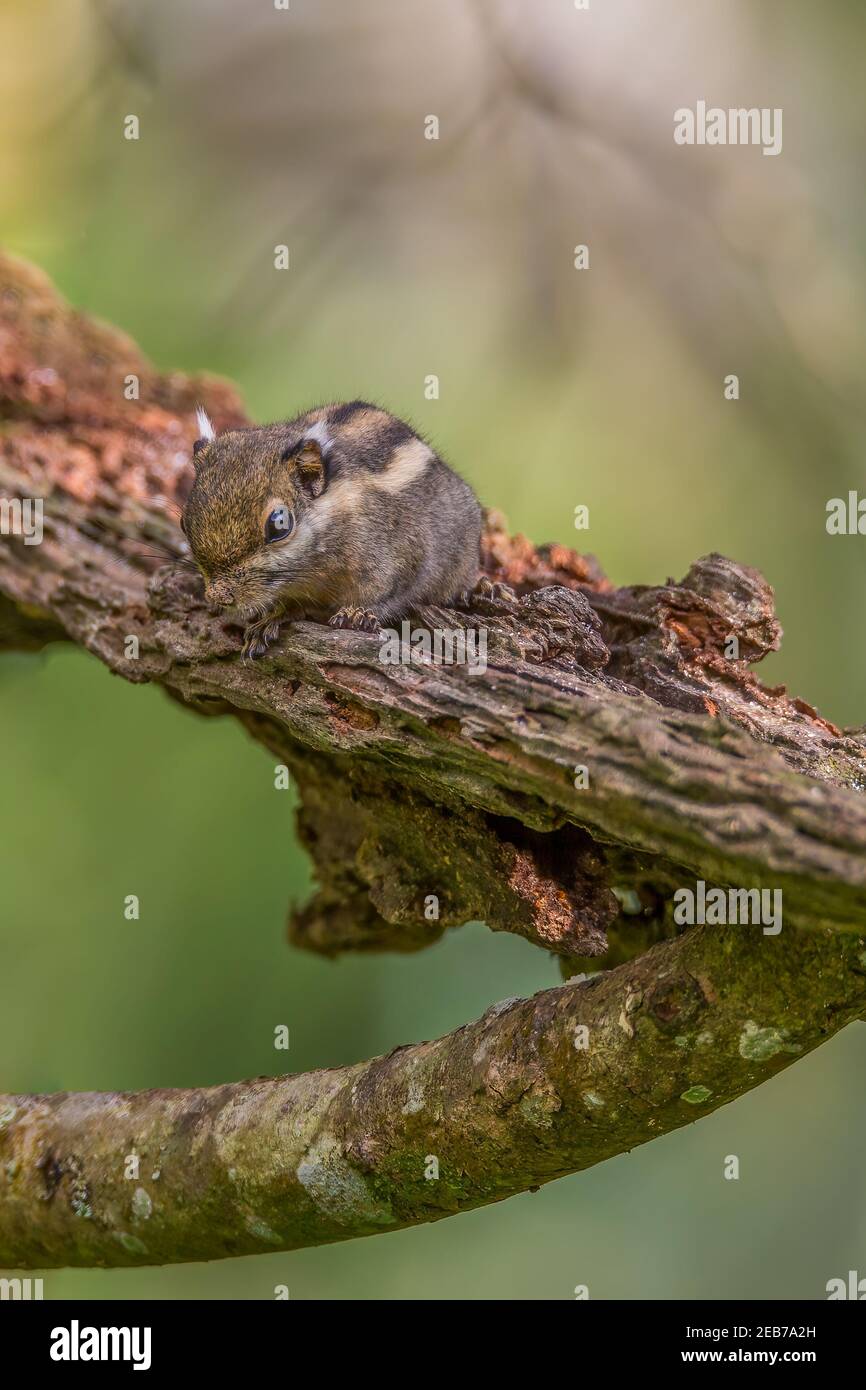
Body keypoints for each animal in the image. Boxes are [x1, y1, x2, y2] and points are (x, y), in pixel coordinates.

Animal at [181, 400, 484, 659]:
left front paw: (356, 614)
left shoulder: (402, 558)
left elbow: (388, 594)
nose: (218, 597)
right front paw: (273, 617)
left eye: (279, 524)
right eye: (184, 521)